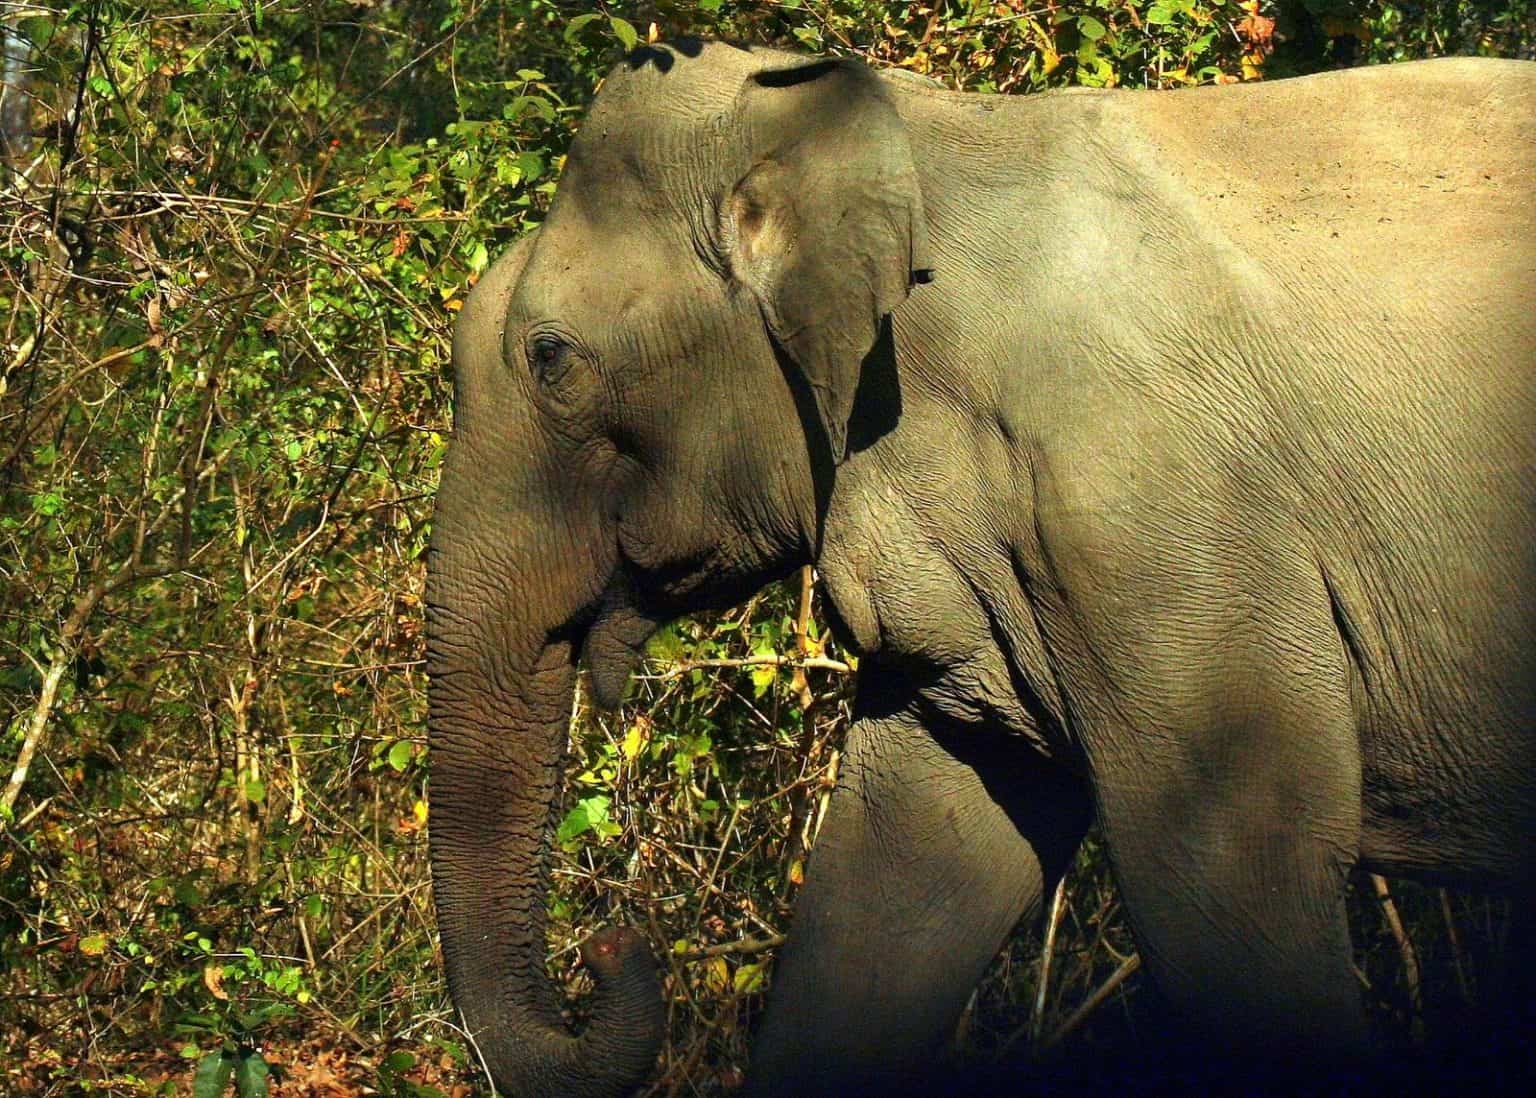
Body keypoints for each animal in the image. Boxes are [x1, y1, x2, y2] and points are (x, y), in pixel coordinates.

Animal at [425, 39, 1536, 1097]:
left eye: (550, 358)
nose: (609, 949)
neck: (911, 130)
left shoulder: (1159, 511)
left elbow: (1237, 857)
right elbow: (911, 861)